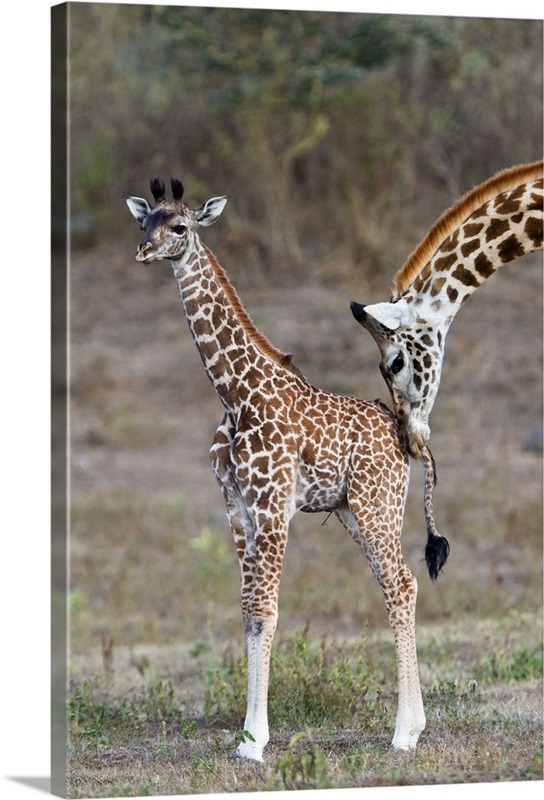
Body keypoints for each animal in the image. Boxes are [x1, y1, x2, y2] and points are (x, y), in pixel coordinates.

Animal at [126, 178, 449, 761]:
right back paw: (412, 727)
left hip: (377, 504)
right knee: (402, 583)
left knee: (399, 585)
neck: (235, 393)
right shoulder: (237, 507)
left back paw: (403, 733)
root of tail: (405, 435)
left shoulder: (273, 505)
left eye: (180, 226)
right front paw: (246, 738)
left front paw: (255, 740)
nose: (143, 250)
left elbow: (267, 610)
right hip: (353, 511)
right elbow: (248, 610)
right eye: (144, 222)